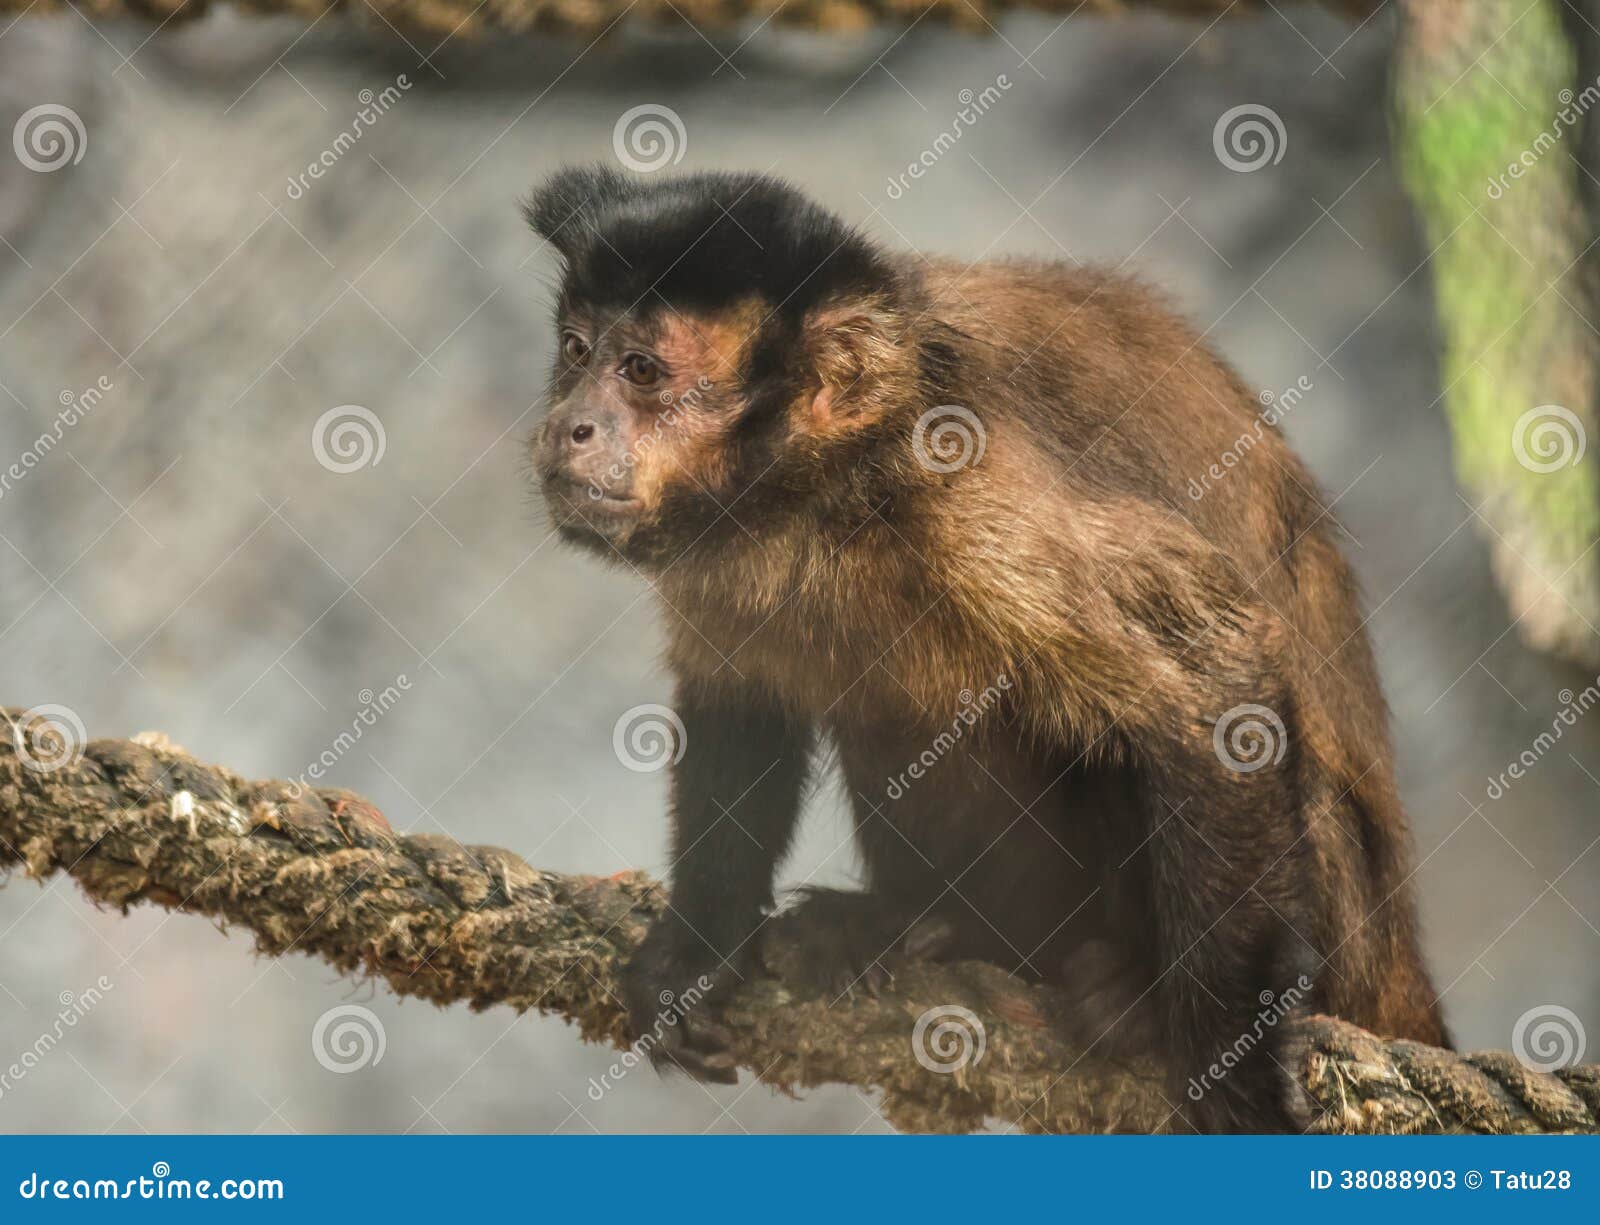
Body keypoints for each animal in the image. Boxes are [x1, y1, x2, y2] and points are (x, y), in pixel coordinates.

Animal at [523, 165, 1449, 1132]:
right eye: (576, 351)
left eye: (641, 371)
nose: (569, 423)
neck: (833, 488)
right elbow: (741, 695)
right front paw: (701, 947)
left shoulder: (969, 485)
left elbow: (1217, 679)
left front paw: (1227, 1074)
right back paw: (920, 926)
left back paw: (1129, 991)